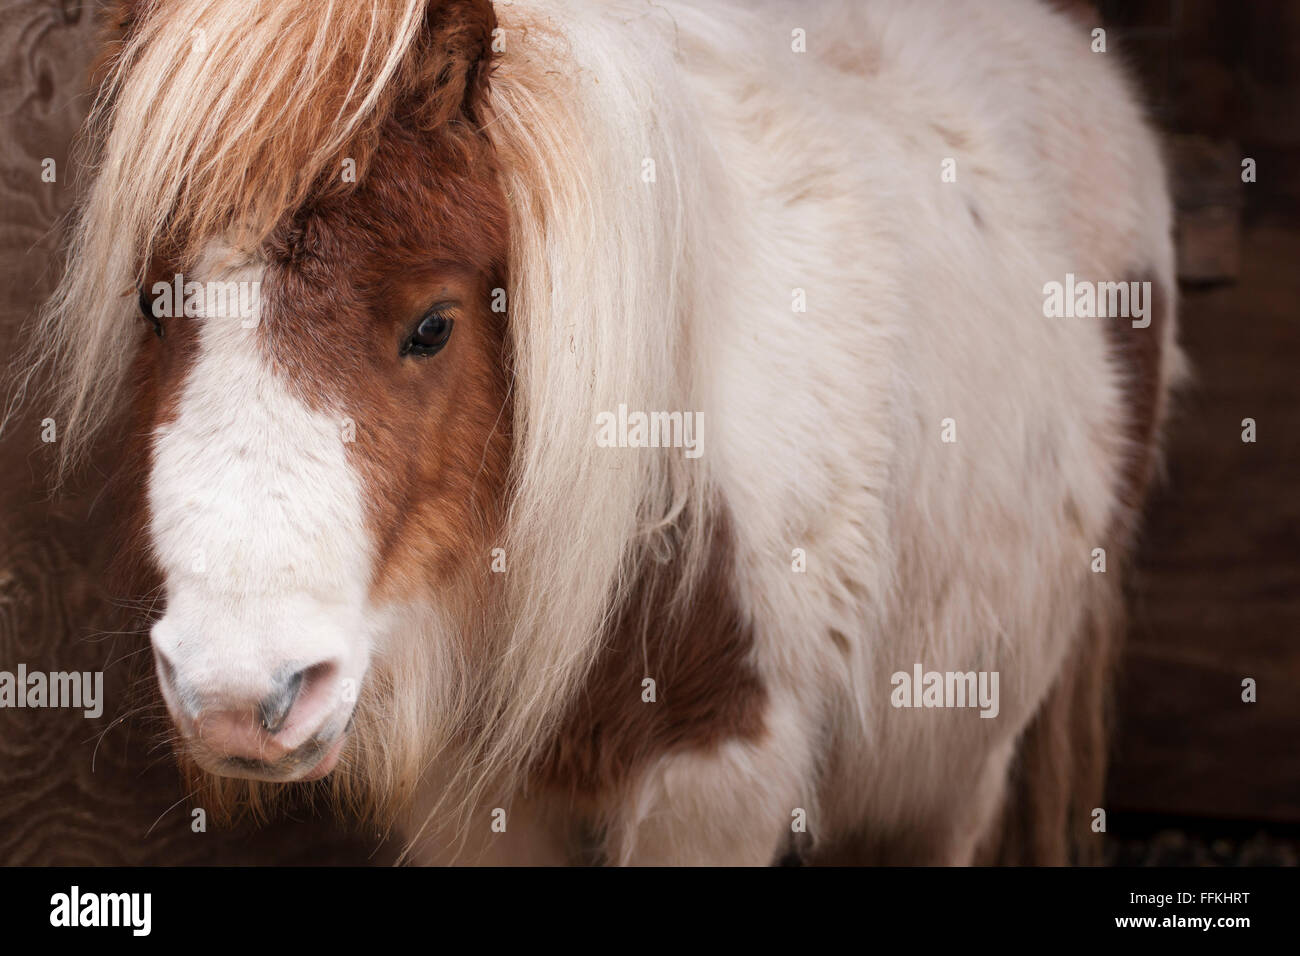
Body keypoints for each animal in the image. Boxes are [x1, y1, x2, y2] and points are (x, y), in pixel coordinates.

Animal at [17, 0, 1181, 864]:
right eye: (154, 307)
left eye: (433, 324)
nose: (235, 695)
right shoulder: (471, 794)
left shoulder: (717, 780)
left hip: (960, 761)